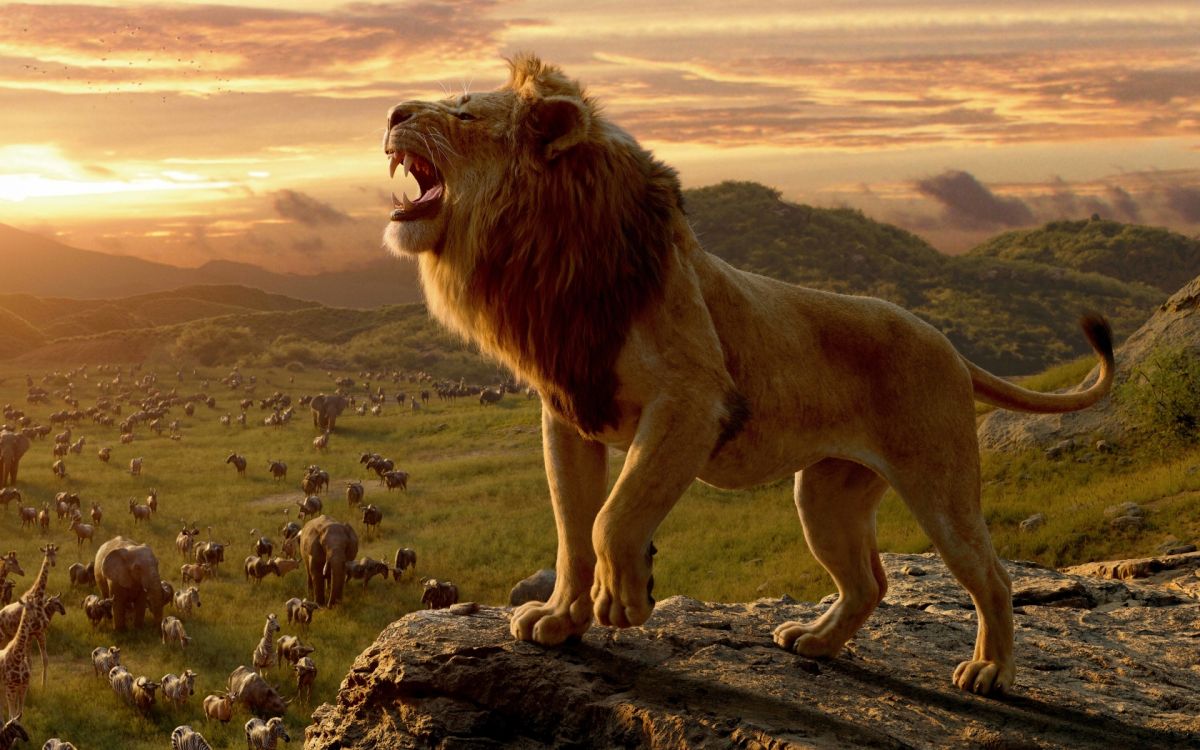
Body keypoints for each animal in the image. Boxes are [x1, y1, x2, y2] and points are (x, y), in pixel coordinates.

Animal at [381, 54, 1114, 696]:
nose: (391, 112)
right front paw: (560, 620)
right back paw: (814, 642)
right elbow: (571, 530)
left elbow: (612, 518)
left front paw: (625, 600)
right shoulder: (568, 413)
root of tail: (949, 345)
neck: (545, 257)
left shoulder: (693, 400)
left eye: (464, 113)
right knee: (869, 582)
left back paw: (990, 671)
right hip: (826, 496)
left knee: (991, 575)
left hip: (939, 484)